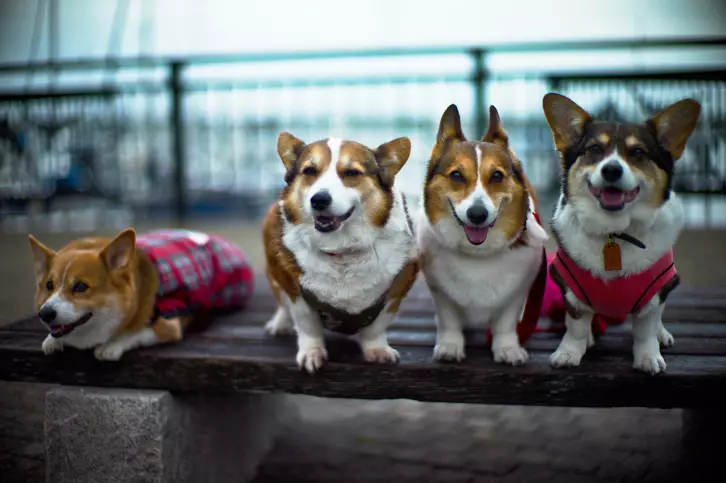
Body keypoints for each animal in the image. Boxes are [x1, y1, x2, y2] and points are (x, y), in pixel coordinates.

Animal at [28, 230, 255, 360]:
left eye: (81, 286)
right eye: (49, 285)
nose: (45, 314)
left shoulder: (168, 324)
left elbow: (137, 333)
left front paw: (111, 346)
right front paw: (51, 340)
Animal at [264, 131, 418, 374]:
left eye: (351, 172)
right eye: (309, 171)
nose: (318, 200)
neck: (341, 250)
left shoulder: (397, 289)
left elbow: (376, 327)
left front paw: (377, 350)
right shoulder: (294, 290)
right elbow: (307, 324)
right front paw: (311, 353)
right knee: (282, 304)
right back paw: (279, 324)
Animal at [418, 104, 548, 364]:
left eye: (497, 175)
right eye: (456, 175)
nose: (477, 214)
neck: (477, 254)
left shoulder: (516, 293)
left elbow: (505, 323)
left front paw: (507, 349)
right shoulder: (441, 295)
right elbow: (449, 321)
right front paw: (450, 347)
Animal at [544, 93, 704, 374]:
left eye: (638, 152)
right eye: (595, 149)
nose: (611, 170)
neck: (615, 232)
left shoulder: (656, 292)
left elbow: (646, 328)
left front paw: (648, 356)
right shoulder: (570, 289)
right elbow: (575, 326)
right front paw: (568, 352)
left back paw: (662, 334)